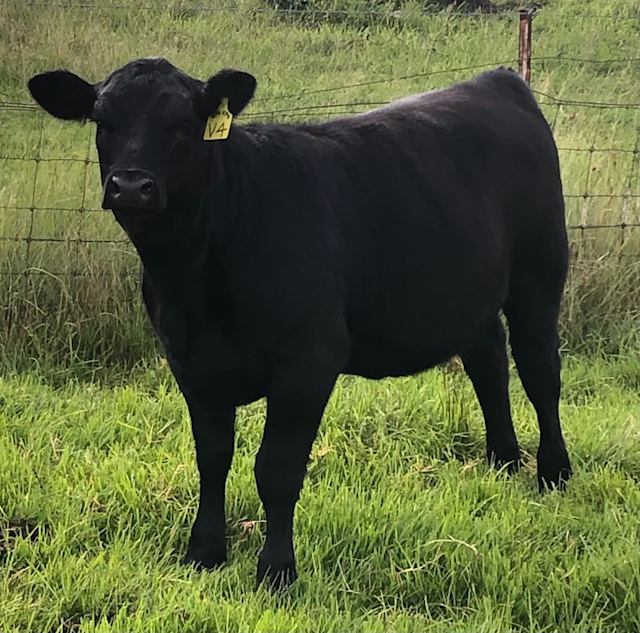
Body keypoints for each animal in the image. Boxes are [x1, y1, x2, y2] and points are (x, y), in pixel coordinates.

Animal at [28, 58, 572, 588]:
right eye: (103, 122)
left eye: (183, 124)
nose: (131, 186)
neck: (195, 274)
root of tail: (497, 80)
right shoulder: (192, 364)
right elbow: (212, 459)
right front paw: (204, 551)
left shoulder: (308, 363)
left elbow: (277, 469)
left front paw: (276, 570)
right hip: (471, 293)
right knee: (489, 362)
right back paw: (503, 460)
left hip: (540, 275)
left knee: (540, 373)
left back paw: (553, 472)